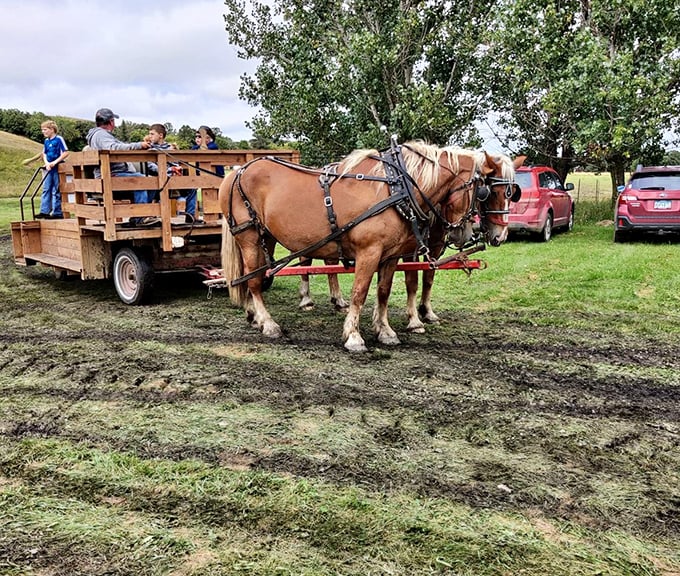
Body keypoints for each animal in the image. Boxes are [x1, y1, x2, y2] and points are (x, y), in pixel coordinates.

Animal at [219, 140, 518, 352]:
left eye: (511, 192)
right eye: (487, 191)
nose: (499, 236)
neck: (398, 188)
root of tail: (237, 171)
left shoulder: (391, 255)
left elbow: (383, 292)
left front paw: (385, 331)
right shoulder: (369, 252)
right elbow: (360, 292)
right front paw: (354, 336)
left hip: (266, 237)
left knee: (252, 275)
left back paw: (254, 315)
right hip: (248, 236)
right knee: (254, 281)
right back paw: (269, 323)